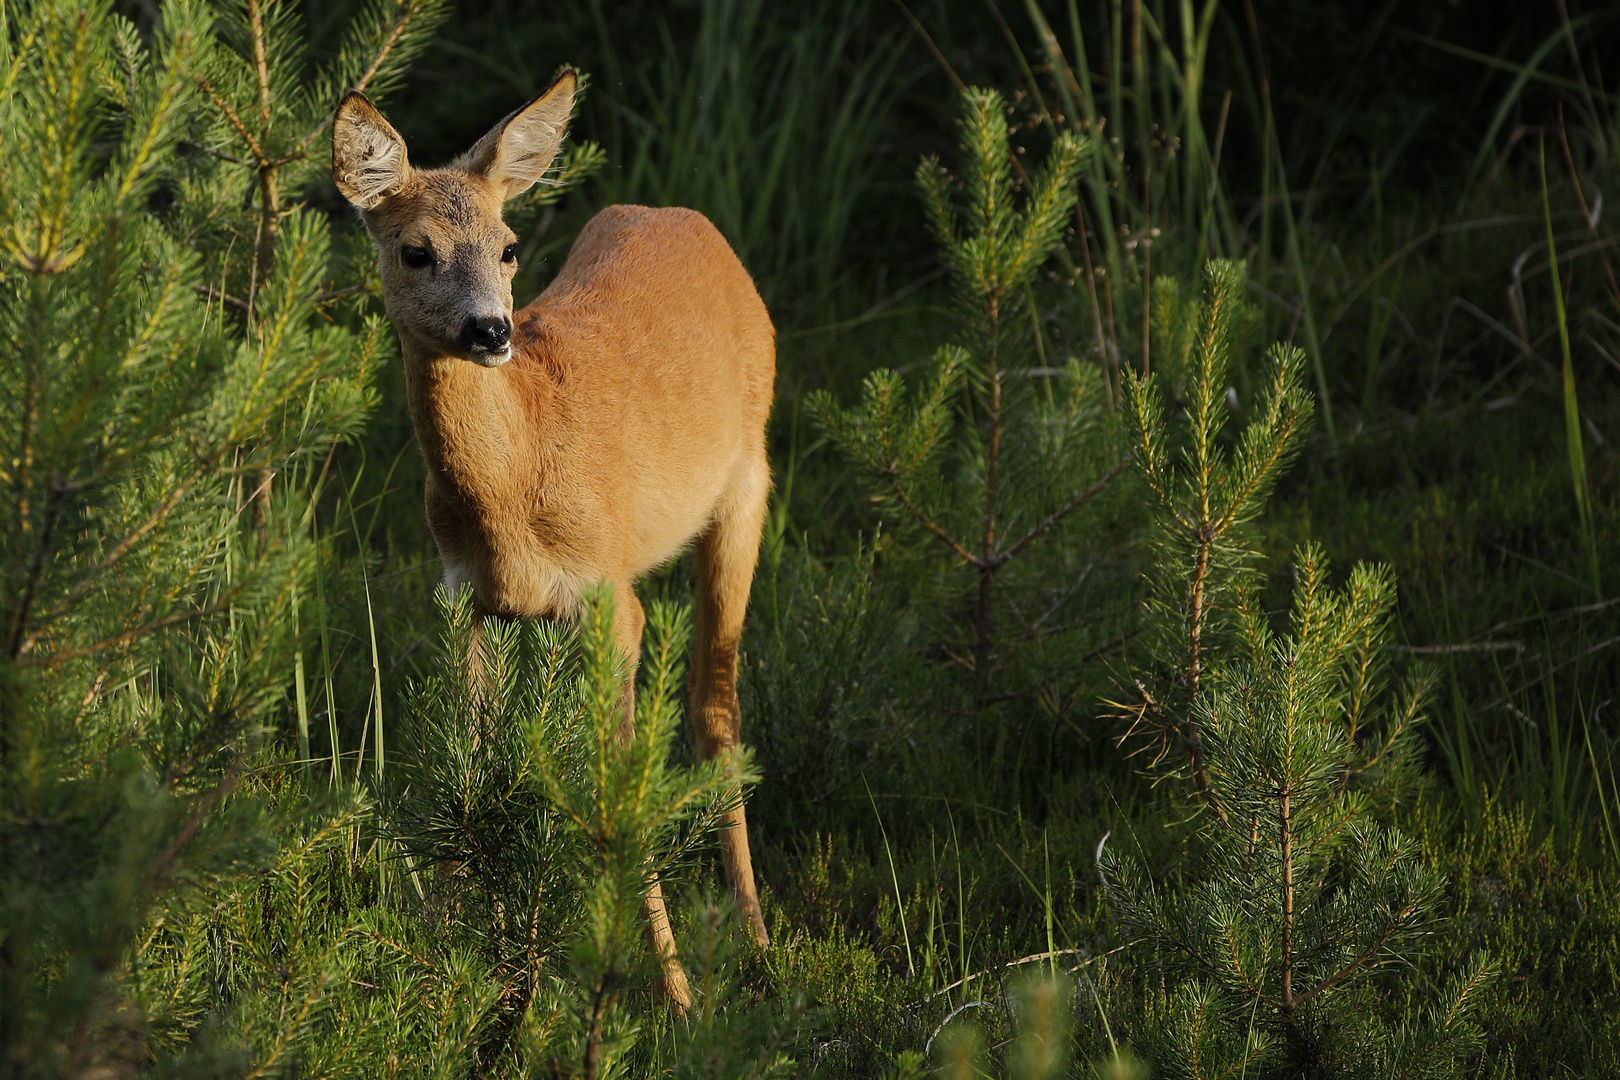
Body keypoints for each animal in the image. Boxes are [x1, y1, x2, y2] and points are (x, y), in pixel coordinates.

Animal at [332, 71, 774, 1010]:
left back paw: (757, 939)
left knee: (716, 704)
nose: (491, 332)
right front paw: (465, 968)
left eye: (507, 248)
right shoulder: (464, 599)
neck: (515, 482)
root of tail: (688, 217)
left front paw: (673, 993)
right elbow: (474, 770)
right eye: (415, 251)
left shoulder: (612, 599)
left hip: (748, 482)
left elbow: (617, 780)